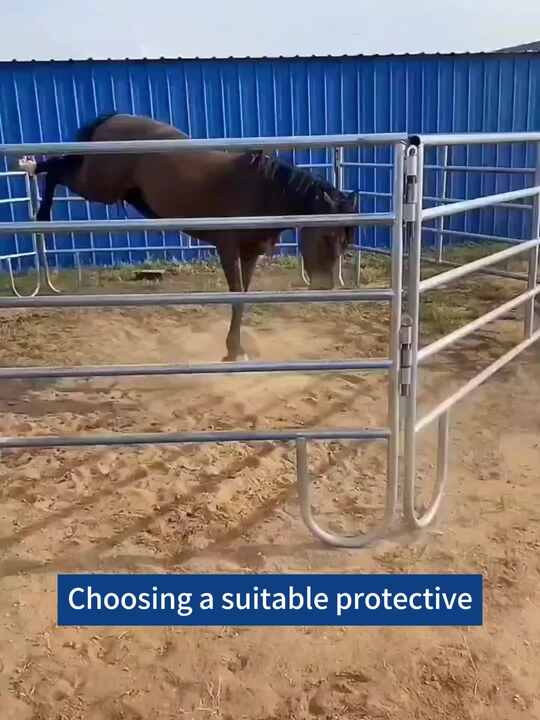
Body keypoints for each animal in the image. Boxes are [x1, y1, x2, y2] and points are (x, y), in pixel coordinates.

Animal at [18, 112, 358, 361]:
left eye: (345, 241)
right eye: (327, 236)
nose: (324, 286)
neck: (263, 190)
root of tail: (114, 118)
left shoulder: (250, 254)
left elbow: (244, 299)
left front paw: (237, 348)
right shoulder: (229, 250)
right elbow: (236, 298)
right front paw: (233, 352)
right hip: (99, 185)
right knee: (58, 170)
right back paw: (38, 197)